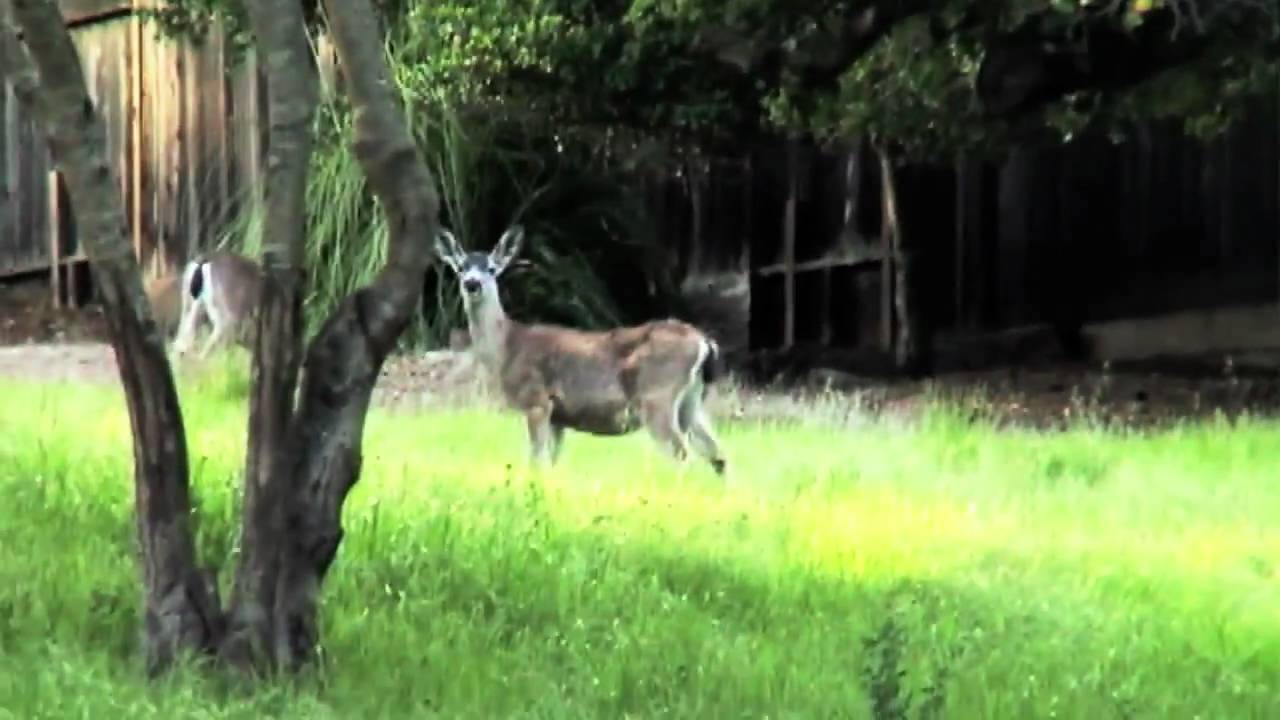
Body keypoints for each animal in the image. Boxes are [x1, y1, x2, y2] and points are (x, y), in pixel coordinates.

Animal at [434, 225, 729, 476]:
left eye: (492, 268)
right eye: (460, 268)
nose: (472, 283)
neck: (507, 346)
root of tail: (704, 343)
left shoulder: (536, 399)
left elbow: (535, 462)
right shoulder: (558, 417)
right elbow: (550, 465)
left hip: (657, 395)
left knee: (682, 456)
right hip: (692, 401)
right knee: (718, 455)